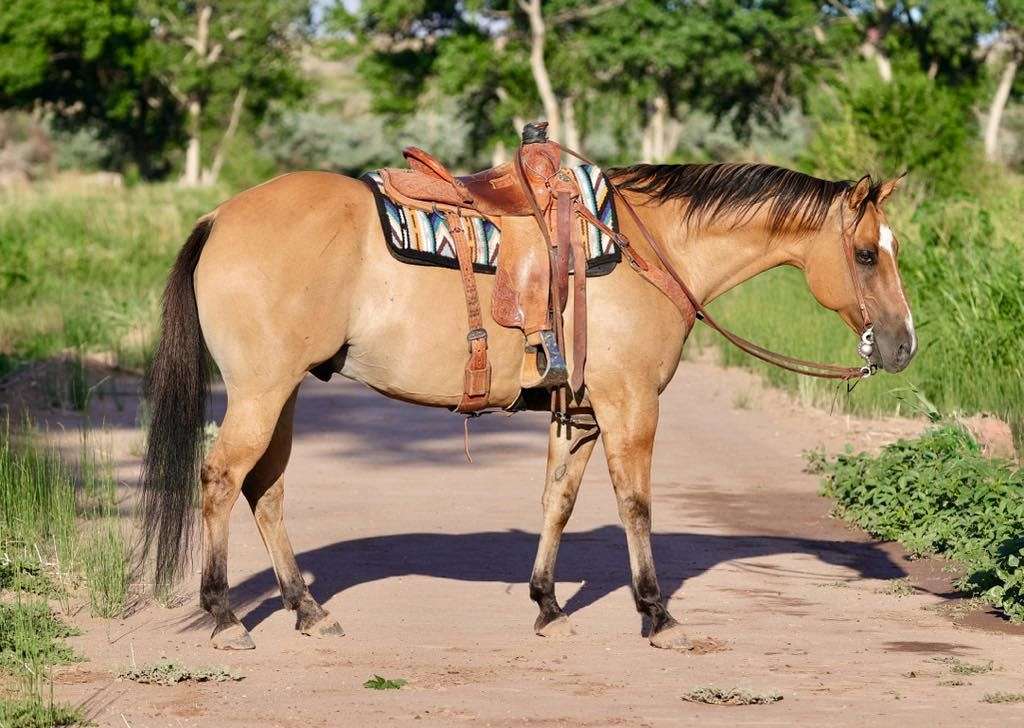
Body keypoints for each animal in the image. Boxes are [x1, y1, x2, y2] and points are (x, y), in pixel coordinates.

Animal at [138, 160, 916, 650]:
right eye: (866, 254)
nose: (904, 344)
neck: (648, 249)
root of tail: (221, 216)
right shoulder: (630, 404)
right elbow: (636, 505)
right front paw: (657, 615)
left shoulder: (583, 412)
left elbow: (559, 501)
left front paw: (547, 606)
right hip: (261, 392)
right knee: (221, 481)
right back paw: (225, 617)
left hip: (285, 393)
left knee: (264, 491)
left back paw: (307, 610)